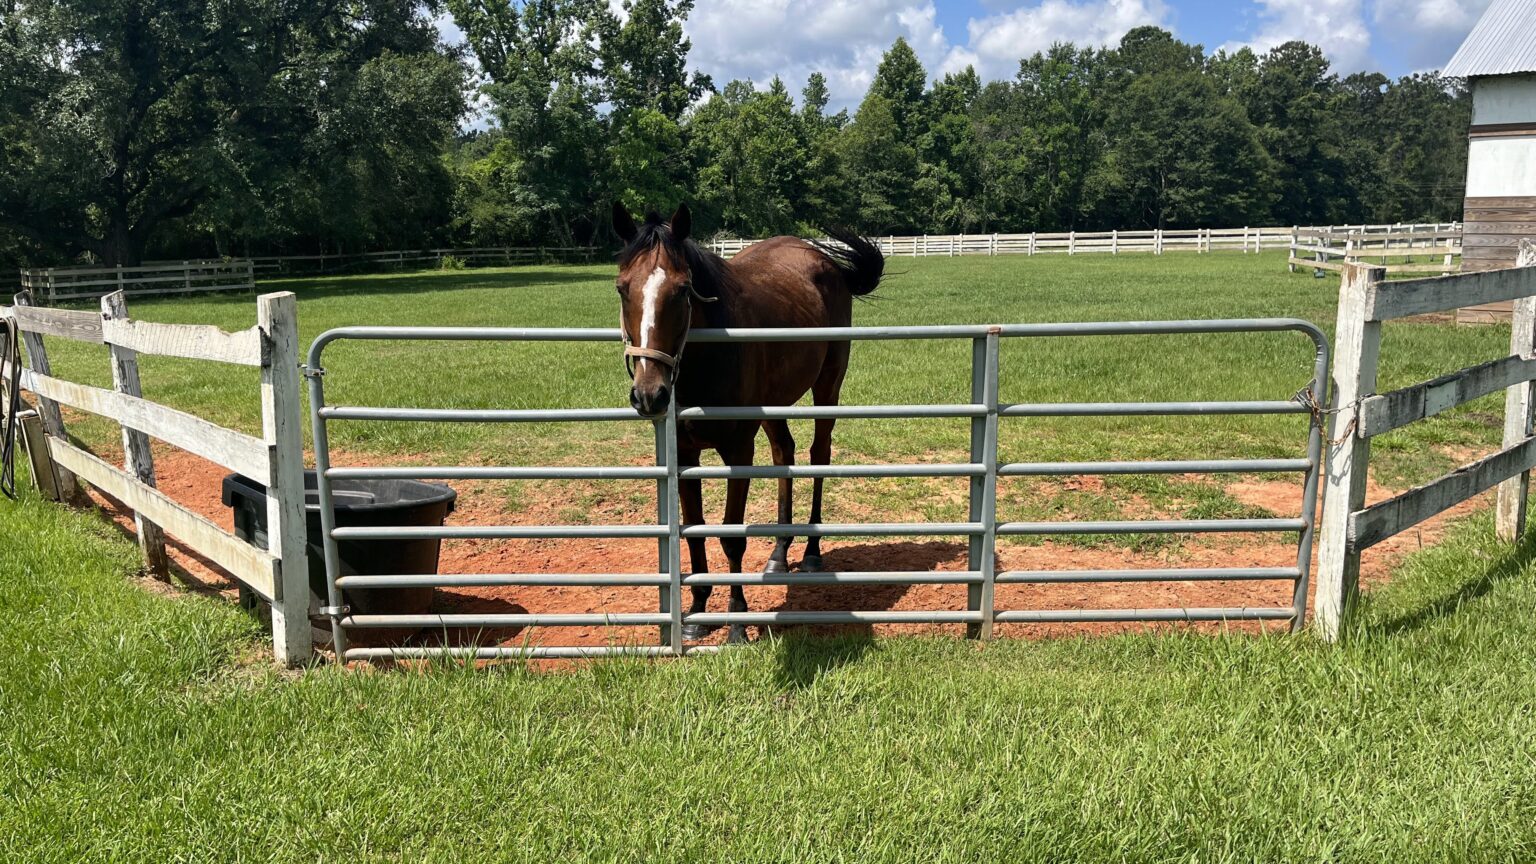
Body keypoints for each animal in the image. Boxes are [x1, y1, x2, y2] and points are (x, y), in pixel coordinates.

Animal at [612, 202, 884, 644]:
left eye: (682, 290)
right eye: (622, 287)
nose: (650, 394)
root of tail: (824, 261)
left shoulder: (738, 450)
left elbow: (730, 536)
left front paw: (737, 621)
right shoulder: (686, 454)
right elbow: (695, 528)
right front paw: (697, 613)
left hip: (829, 385)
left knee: (819, 454)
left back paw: (811, 553)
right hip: (773, 406)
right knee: (785, 452)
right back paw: (778, 553)